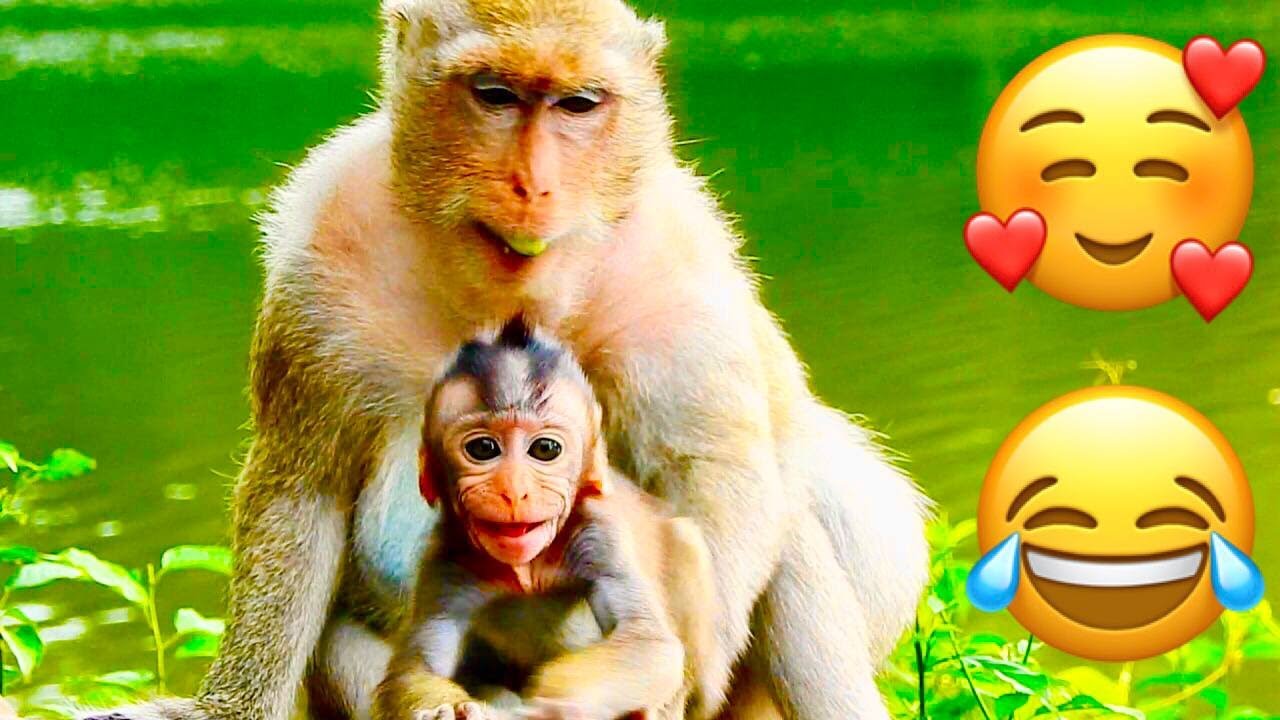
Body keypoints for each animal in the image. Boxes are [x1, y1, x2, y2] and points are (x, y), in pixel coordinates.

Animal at [375, 320, 718, 720]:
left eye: (545, 449)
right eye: (483, 449)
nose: (514, 491)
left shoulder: (598, 534)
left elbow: (646, 641)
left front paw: (545, 711)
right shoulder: (446, 561)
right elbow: (415, 668)